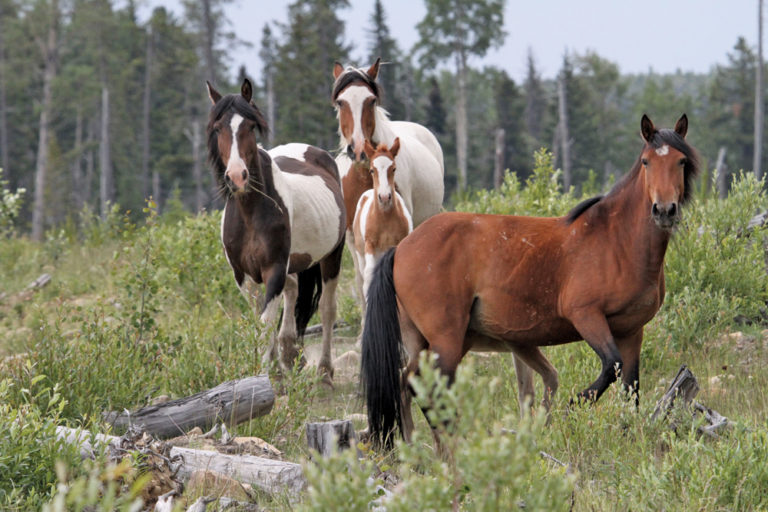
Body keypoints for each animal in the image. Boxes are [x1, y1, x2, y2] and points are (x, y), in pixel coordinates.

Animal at [206, 78, 345, 381]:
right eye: (218, 128)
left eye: (250, 126)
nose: (237, 177)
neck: (251, 212)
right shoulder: (244, 277)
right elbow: (259, 324)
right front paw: (272, 369)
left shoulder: (273, 270)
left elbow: (266, 322)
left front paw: (268, 373)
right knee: (293, 292)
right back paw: (290, 353)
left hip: (332, 255)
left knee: (327, 309)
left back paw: (324, 372)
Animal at [353, 138, 413, 304]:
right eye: (372, 170)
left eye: (393, 169)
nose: (385, 197)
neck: (385, 218)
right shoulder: (370, 245)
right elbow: (368, 278)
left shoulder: (399, 243)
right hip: (361, 252)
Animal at [361, 114, 699, 447]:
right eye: (646, 161)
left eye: (681, 161)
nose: (664, 210)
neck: (616, 242)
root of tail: (401, 248)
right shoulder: (587, 316)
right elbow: (609, 368)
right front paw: (573, 405)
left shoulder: (632, 331)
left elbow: (631, 388)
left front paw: (627, 437)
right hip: (446, 340)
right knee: (424, 388)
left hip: (431, 340)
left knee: (406, 384)